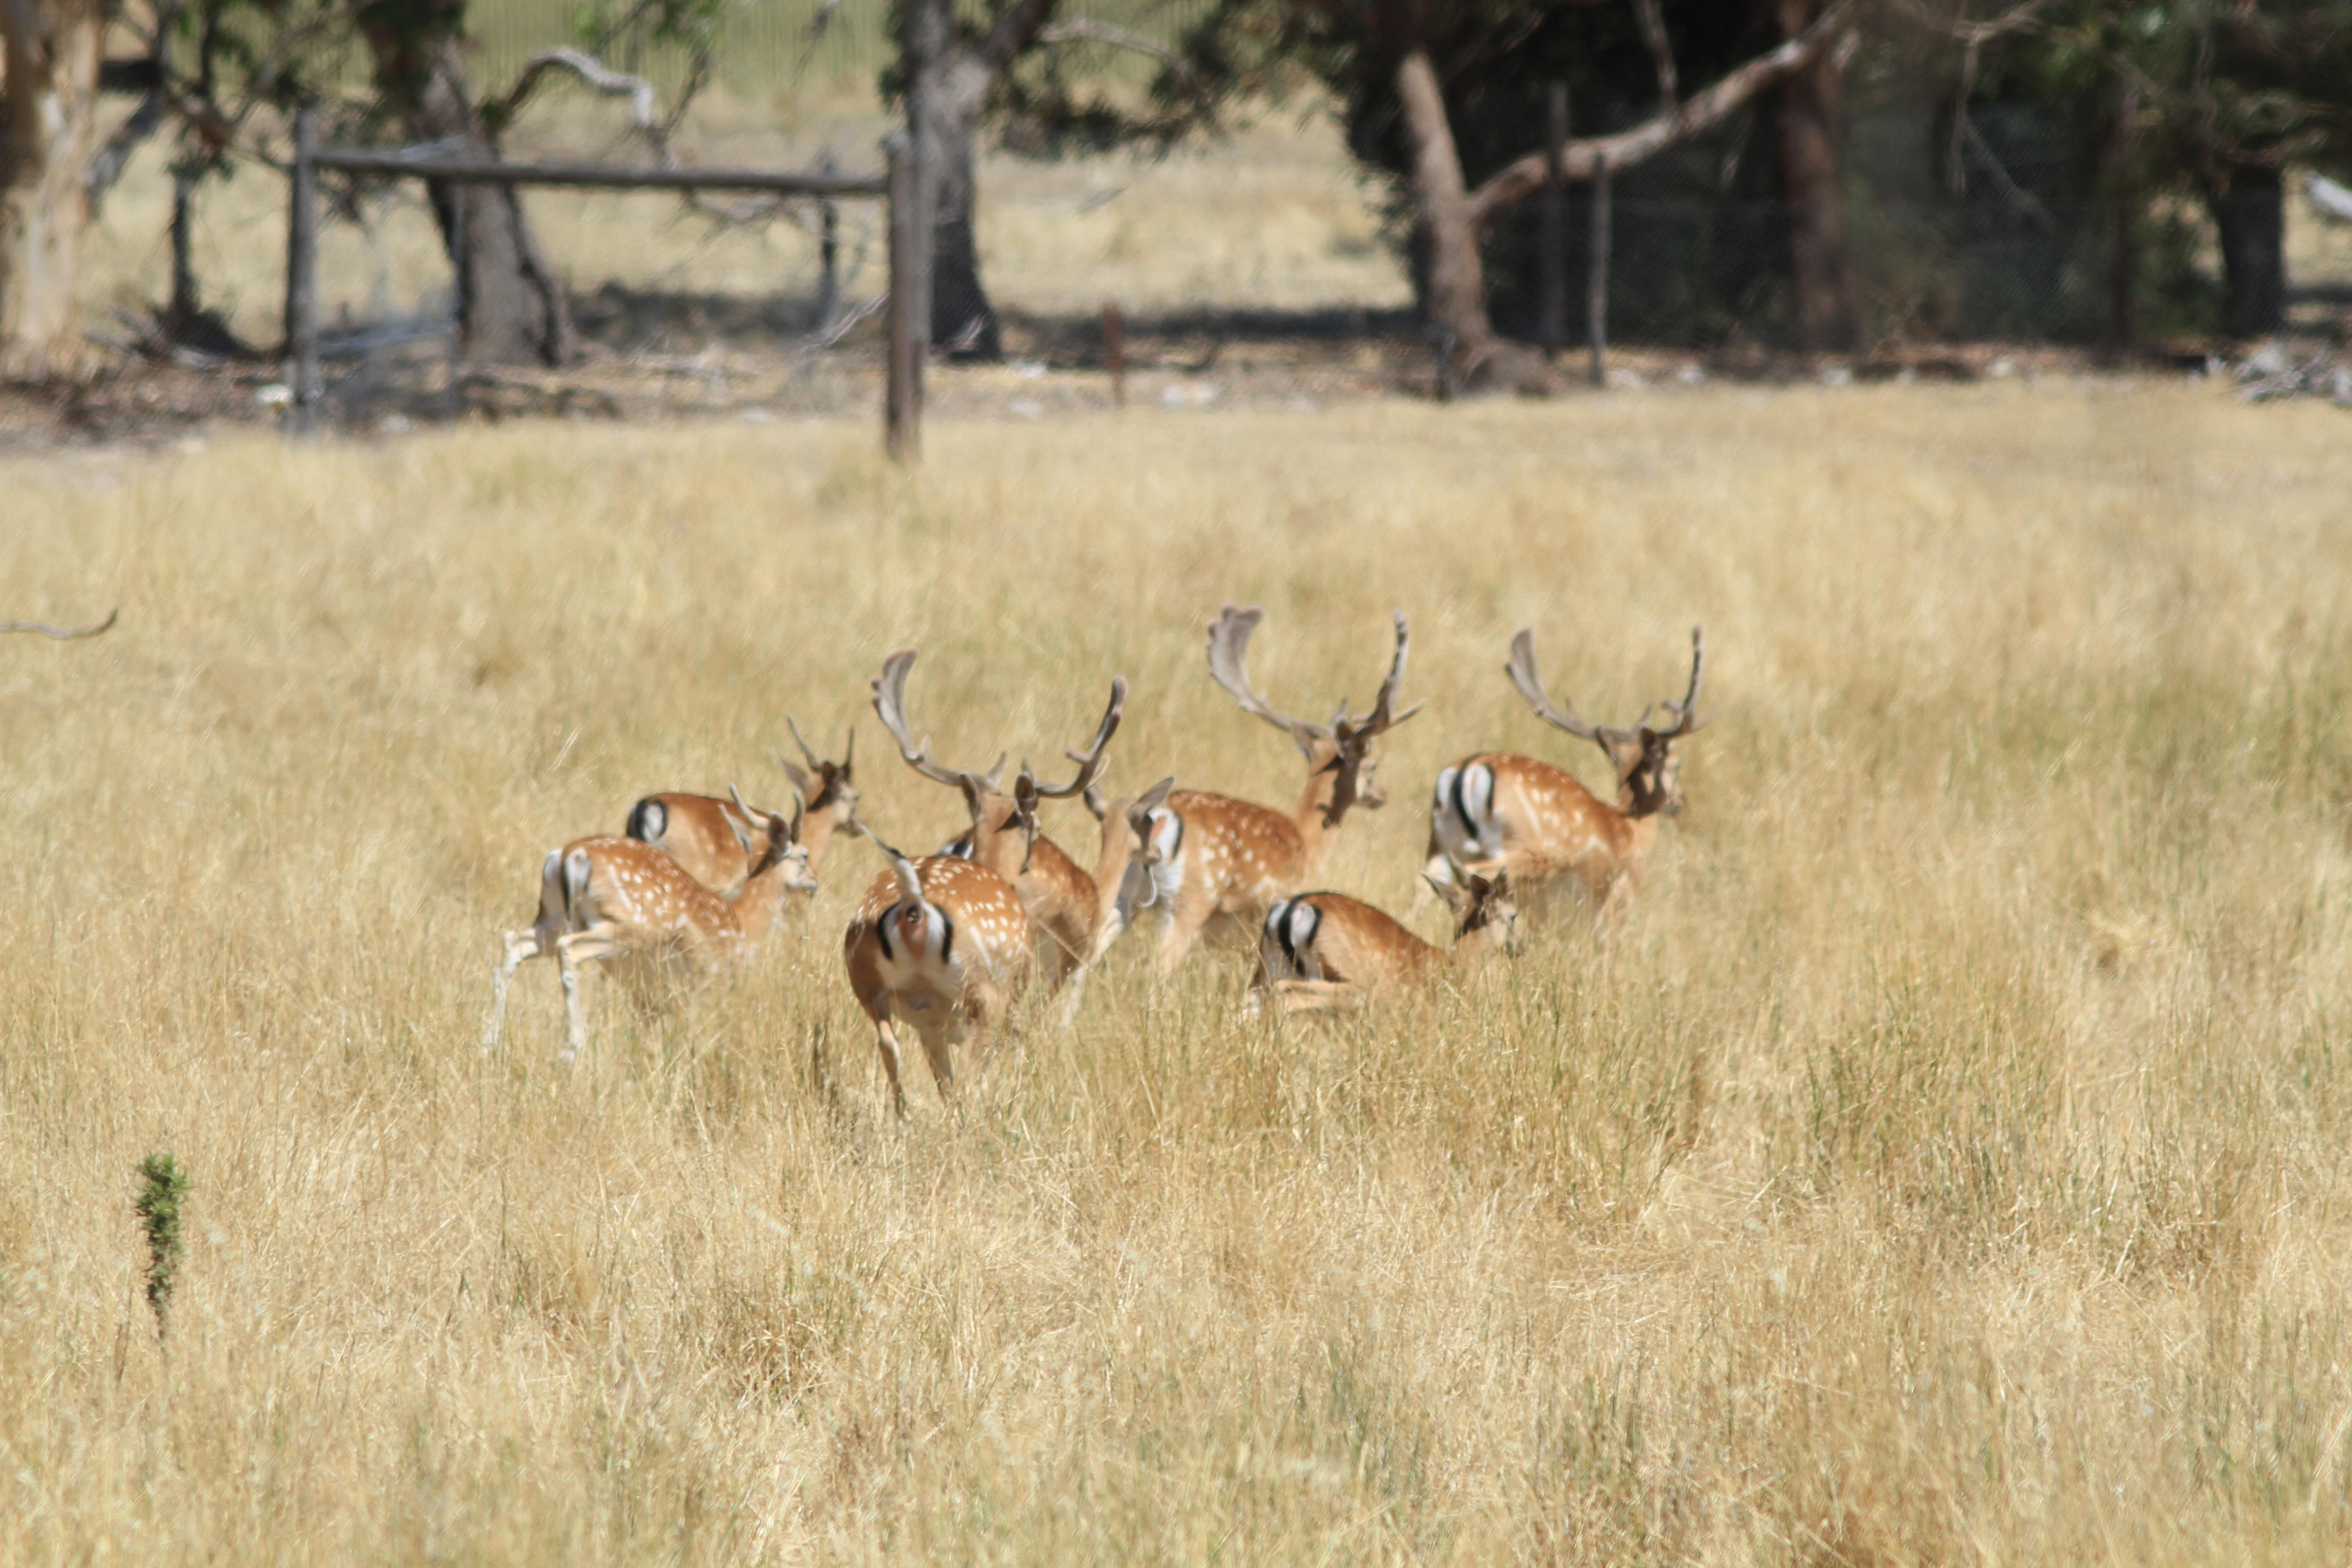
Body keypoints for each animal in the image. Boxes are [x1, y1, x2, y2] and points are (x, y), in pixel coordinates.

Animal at [484, 794, 818, 1061]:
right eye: (804, 856)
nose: (815, 882)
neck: (741, 926)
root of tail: (571, 854)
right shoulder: (708, 984)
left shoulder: (650, 998)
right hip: (628, 926)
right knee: (570, 950)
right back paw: (572, 1046)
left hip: (551, 917)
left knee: (513, 942)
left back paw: (491, 1041)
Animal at [840, 823, 1034, 1115]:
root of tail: (914, 905)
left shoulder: (931, 1027)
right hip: (983, 995)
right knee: (971, 1067)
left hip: (869, 988)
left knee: (890, 1046)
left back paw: (904, 1118)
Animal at [1250, 869, 1519, 1017]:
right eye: (1514, 916)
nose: (1519, 949)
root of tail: (1294, 907)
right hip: (1349, 989)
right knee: (1286, 997)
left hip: (1265, 976)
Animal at [1422, 625, 1706, 919]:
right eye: (1676, 765)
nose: (1681, 801)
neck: (1632, 829)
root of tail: (1468, 772)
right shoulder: (1617, 898)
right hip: (1522, 848)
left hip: (1439, 846)